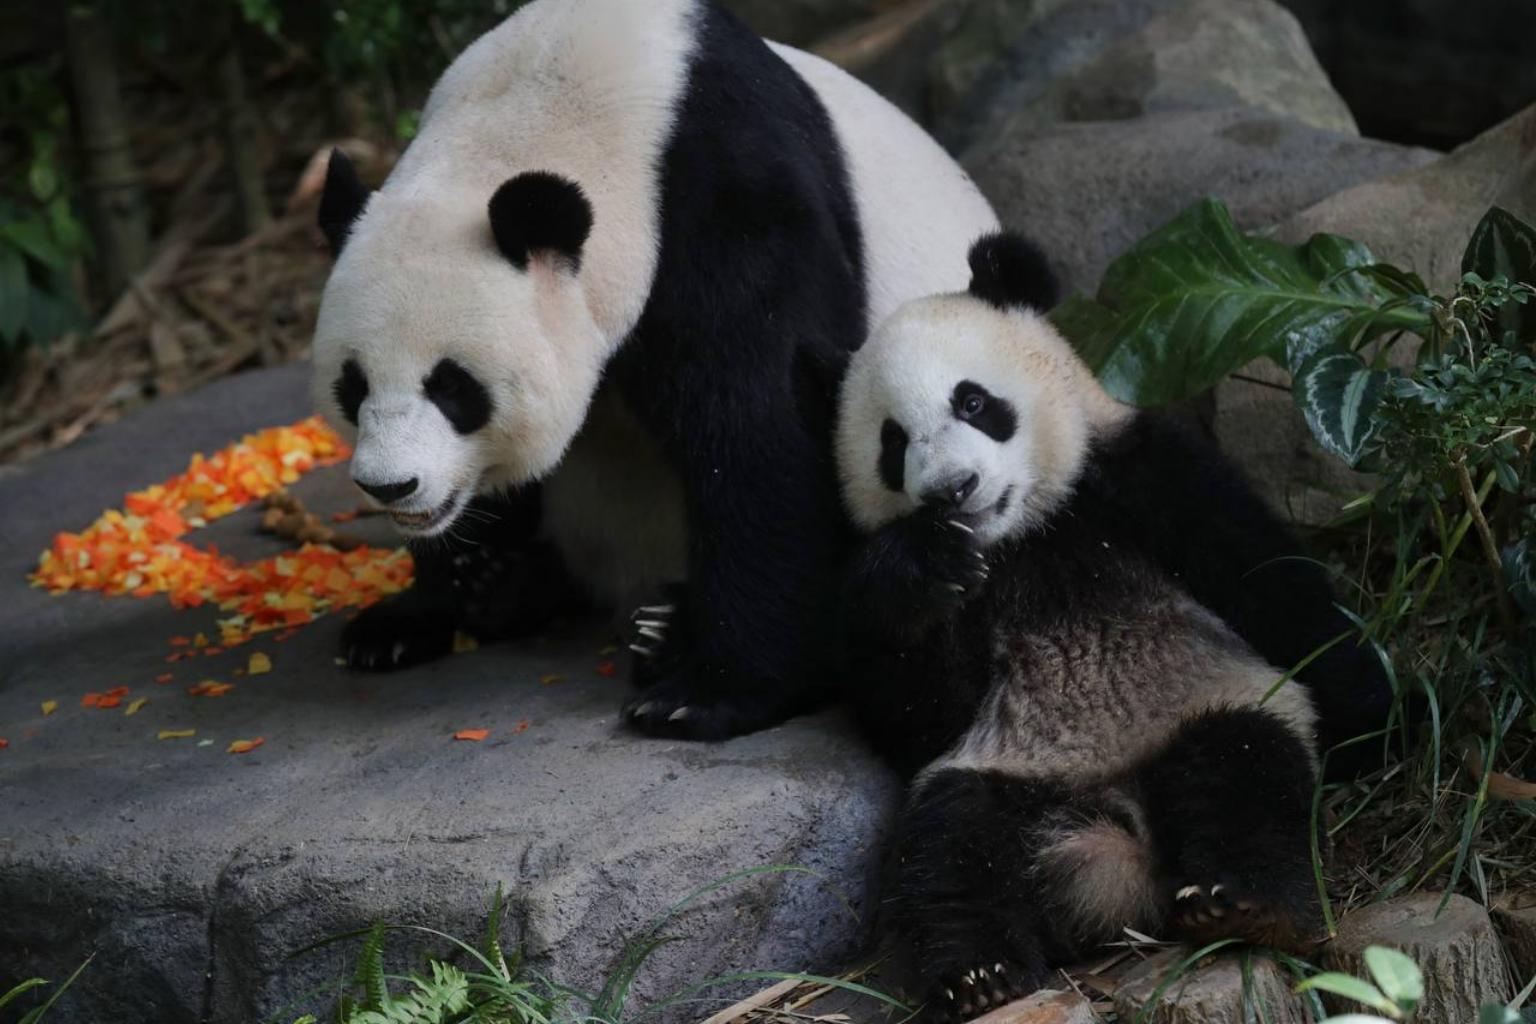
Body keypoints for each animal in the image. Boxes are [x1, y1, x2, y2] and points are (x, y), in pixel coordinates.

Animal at [310, 0, 999, 738]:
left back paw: (672, 626)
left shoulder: (723, 194)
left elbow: (764, 424)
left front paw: (710, 691)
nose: (391, 486)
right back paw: (499, 588)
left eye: (452, 386)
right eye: (352, 386)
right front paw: (422, 608)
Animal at [833, 234, 1392, 1020]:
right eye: (892, 442)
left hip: (1206, 703)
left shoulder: (1139, 472)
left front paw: (1370, 721)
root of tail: (1113, 830)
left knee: (1247, 771)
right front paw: (923, 566)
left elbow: (1269, 582)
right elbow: (918, 713)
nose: (953, 491)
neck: (1026, 535)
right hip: (1001, 770)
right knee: (948, 847)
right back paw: (980, 975)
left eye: (973, 401)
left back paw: (1247, 906)